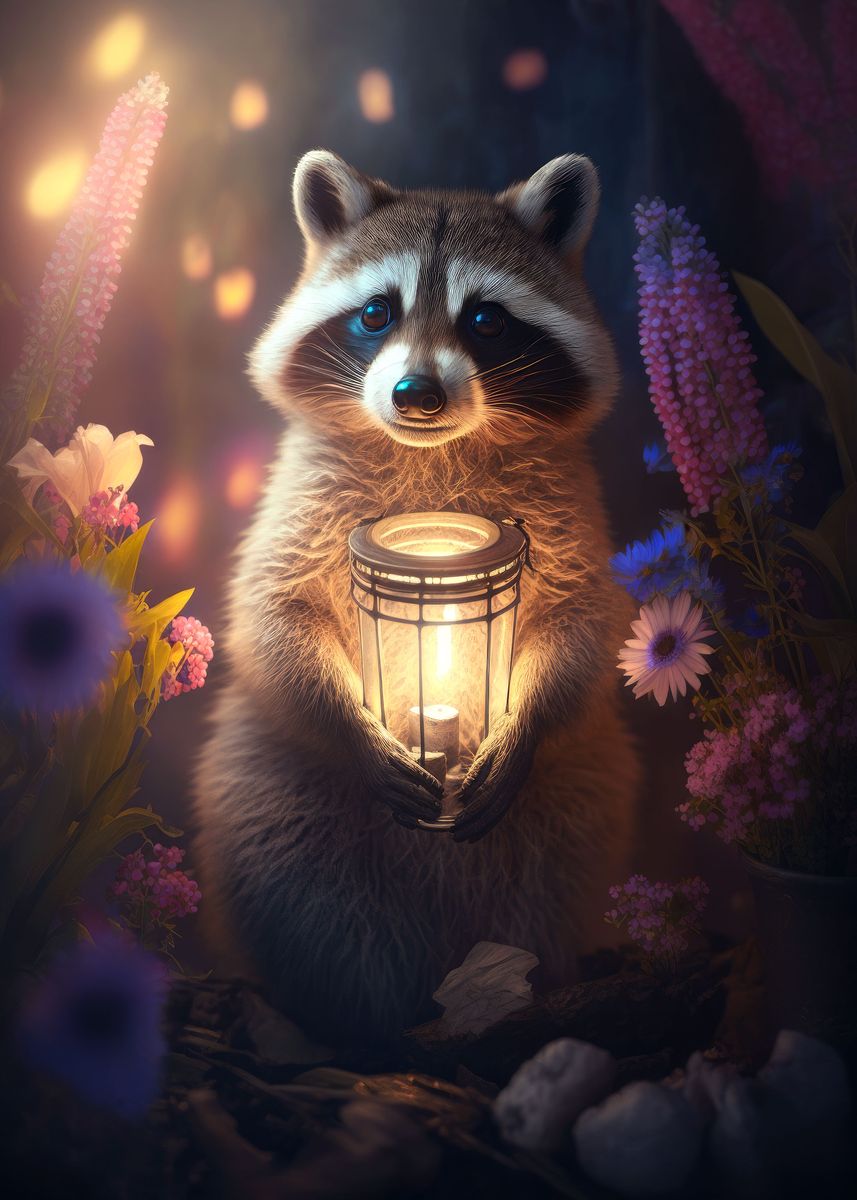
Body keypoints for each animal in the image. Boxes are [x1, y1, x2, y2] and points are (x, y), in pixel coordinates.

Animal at [195, 150, 639, 1042]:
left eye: (485, 321)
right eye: (376, 313)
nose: (417, 394)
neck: (434, 455)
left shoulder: (567, 506)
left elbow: (583, 624)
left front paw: (529, 716)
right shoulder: (303, 495)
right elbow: (271, 615)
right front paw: (349, 722)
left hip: (574, 796)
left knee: (557, 856)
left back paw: (518, 991)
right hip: (276, 791)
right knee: (303, 883)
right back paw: (347, 1014)